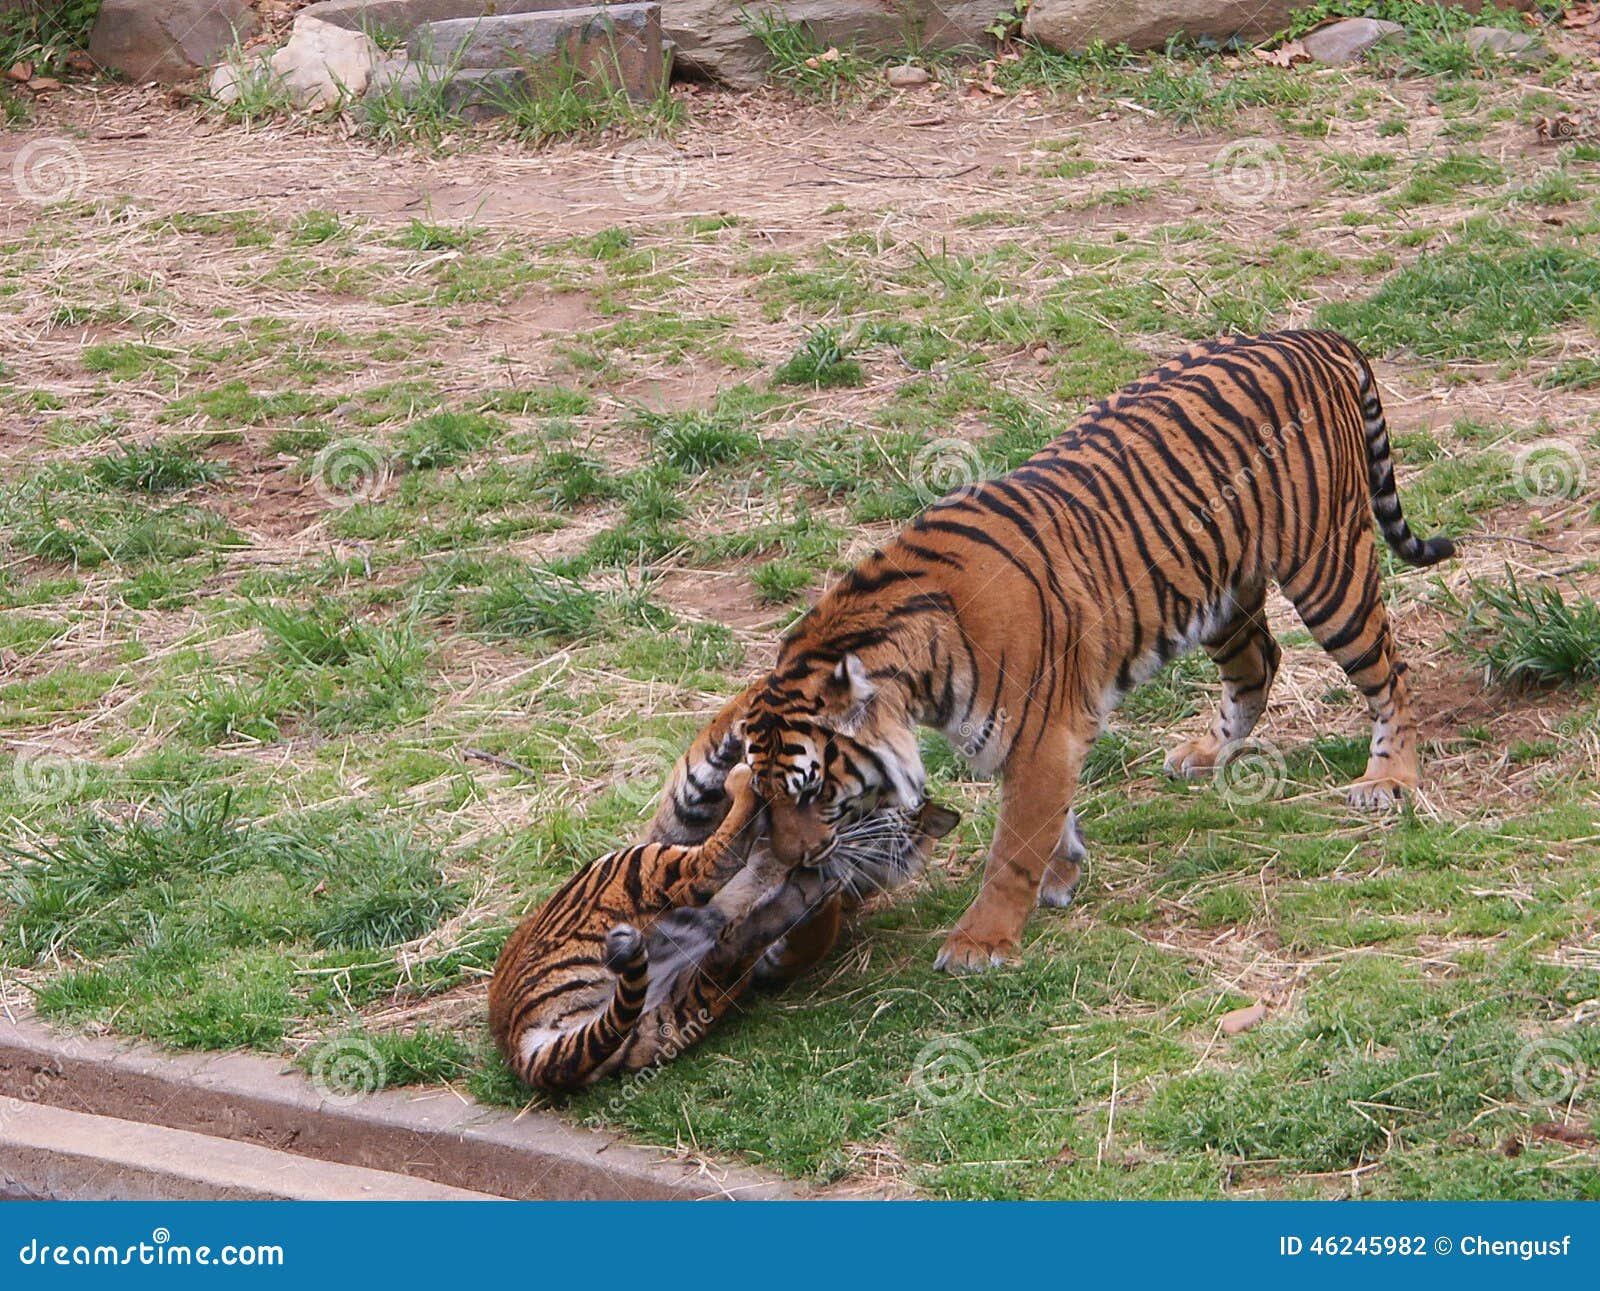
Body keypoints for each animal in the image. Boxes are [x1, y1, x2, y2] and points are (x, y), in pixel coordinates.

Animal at [647, 330, 1455, 975]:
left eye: (812, 792)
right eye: (764, 797)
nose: (793, 865)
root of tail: (1312, 336)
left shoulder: (1040, 733)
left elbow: (1012, 847)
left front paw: (980, 941)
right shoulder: (1037, 737)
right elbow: (1049, 821)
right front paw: (1063, 872)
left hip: (1329, 570)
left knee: (1390, 675)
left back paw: (1390, 779)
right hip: (1216, 590)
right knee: (1260, 662)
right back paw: (1207, 752)